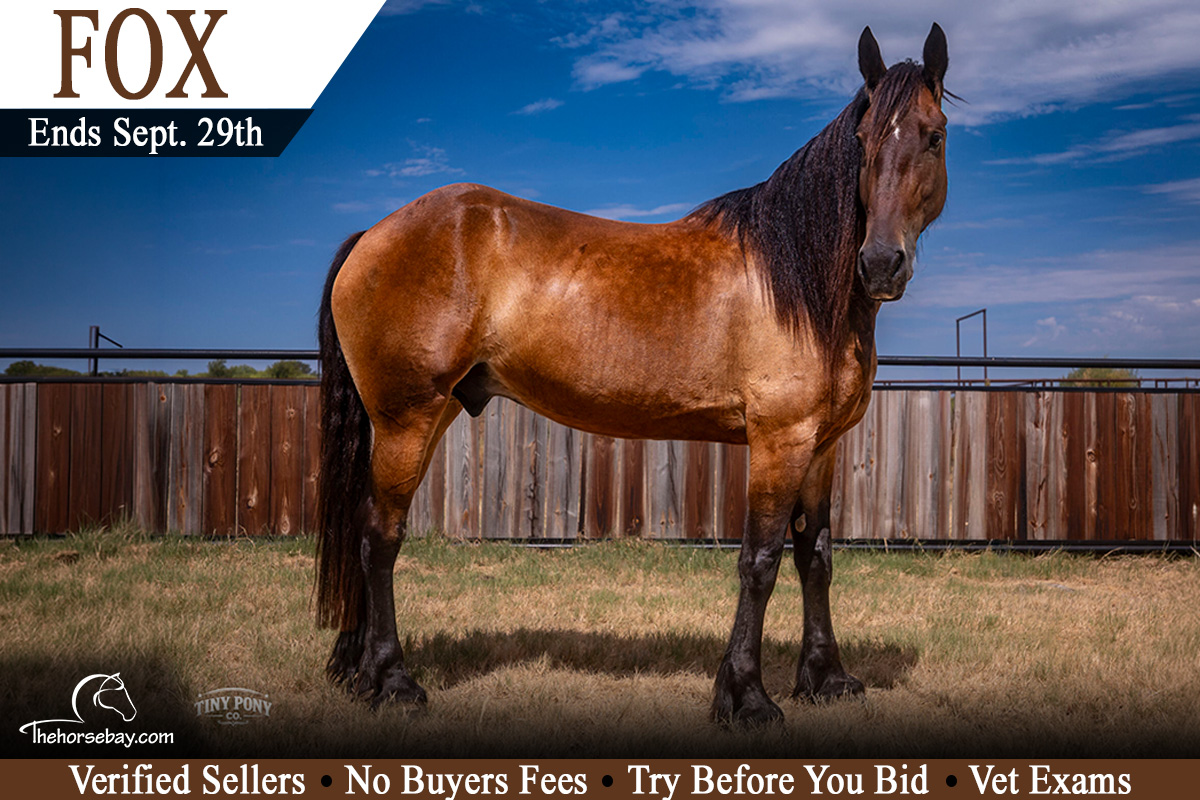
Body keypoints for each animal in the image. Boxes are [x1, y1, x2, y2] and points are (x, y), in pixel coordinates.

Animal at [315, 23, 949, 725]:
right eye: (863, 140)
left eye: (934, 136)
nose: (881, 263)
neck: (798, 282)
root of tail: (373, 233)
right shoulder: (779, 442)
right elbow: (760, 562)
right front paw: (747, 697)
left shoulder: (821, 448)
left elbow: (816, 557)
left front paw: (827, 678)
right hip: (407, 418)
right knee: (379, 536)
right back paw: (394, 681)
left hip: (428, 414)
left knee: (365, 526)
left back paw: (360, 672)